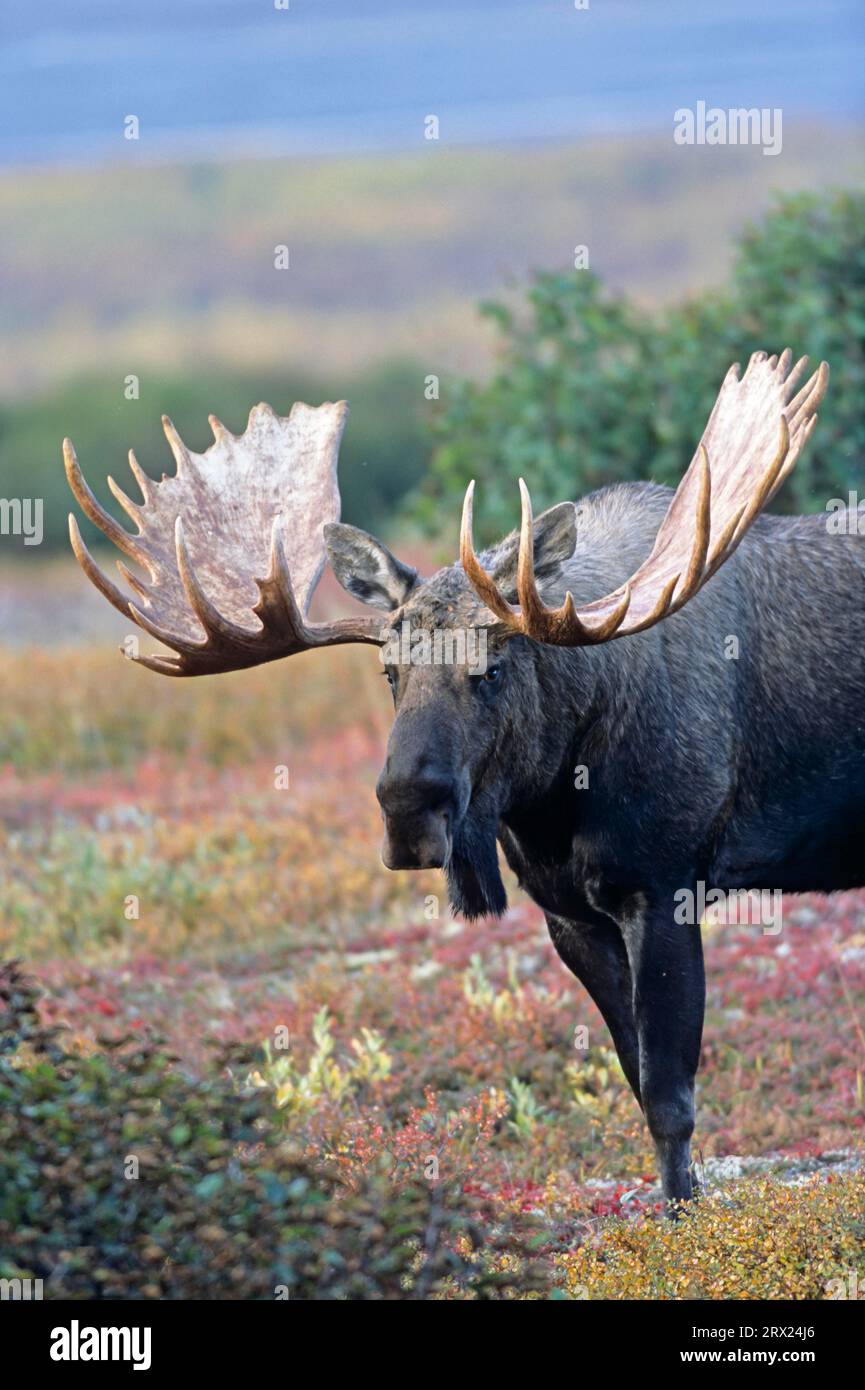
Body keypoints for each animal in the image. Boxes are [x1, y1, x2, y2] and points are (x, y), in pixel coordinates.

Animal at [64, 349, 865, 1207]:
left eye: (491, 667)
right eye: (388, 671)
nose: (407, 813)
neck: (556, 796)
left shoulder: (663, 881)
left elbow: (669, 1095)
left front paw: (685, 1208)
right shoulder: (567, 912)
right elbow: (631, 1073)